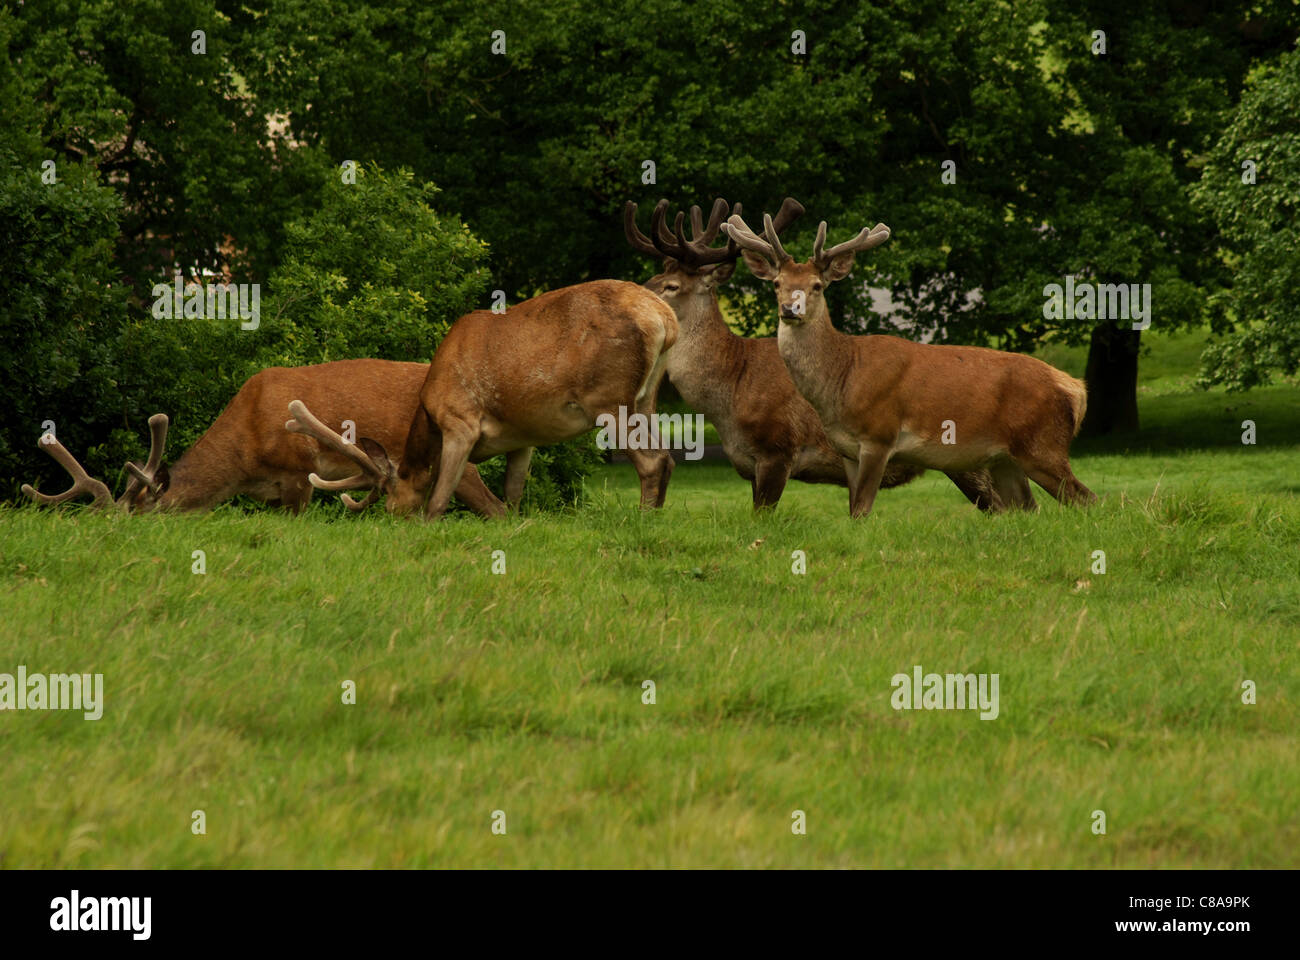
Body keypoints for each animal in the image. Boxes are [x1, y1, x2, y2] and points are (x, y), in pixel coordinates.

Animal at [285, 279, 679, 519]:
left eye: (389, 499)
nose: (394, 518)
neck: (429, 412)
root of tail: (667, 320)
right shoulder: (524, 437)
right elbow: (512, 495)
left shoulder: (460, 420)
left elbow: (440, 497)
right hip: (647, 399)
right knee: (668, 456)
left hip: (608, 399)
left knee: (652, 461)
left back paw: (643, 518)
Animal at [624, 197, 1005, 511]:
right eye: (655, 275)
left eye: (671, 286)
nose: (633, 295)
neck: (732, 391)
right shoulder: (750, 466)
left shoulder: (778, 449)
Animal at [723, 209, 1096, 518]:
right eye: (777, 284)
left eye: (817, 286)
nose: (790, 309)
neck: (843, 376)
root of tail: (1077, 389)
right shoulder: (847, 451)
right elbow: (852, 509)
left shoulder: (880, 435)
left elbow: (862, 510)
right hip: (1006, 458)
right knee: (1029, 508)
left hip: (1043, 445)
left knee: (1086, 499)